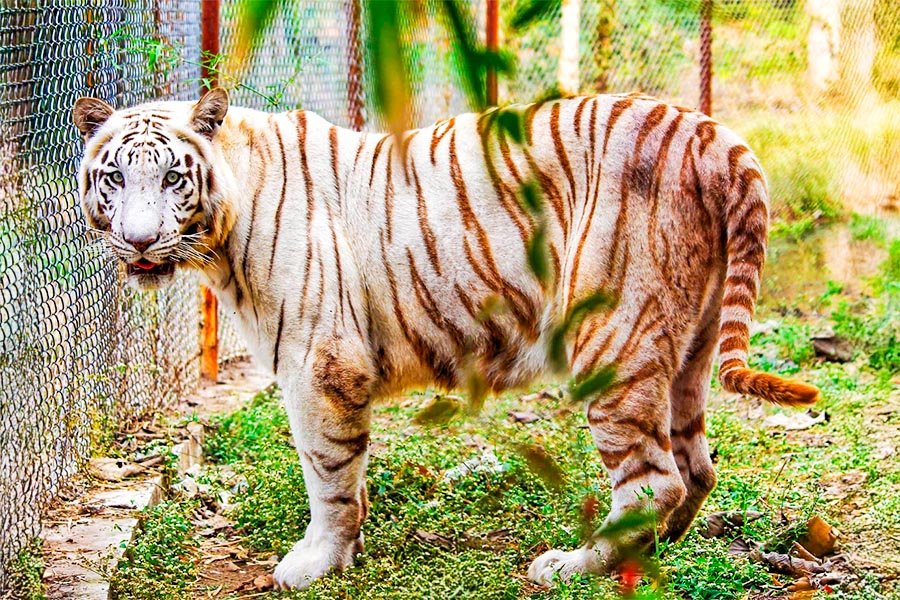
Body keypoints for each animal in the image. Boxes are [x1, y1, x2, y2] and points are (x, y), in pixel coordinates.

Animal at [72, 88, 819, 590]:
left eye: (172, 176)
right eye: (115, 176)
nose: (139, 241)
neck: (223, 240)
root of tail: (708, 130)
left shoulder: (318, 364)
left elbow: (326, 472)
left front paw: (315, 563)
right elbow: (348, 473)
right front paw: (348, 551)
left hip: (613, 342)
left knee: (653, 482)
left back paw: (573, 565)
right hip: (687, 351)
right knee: (697, 468)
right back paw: (654, 553)